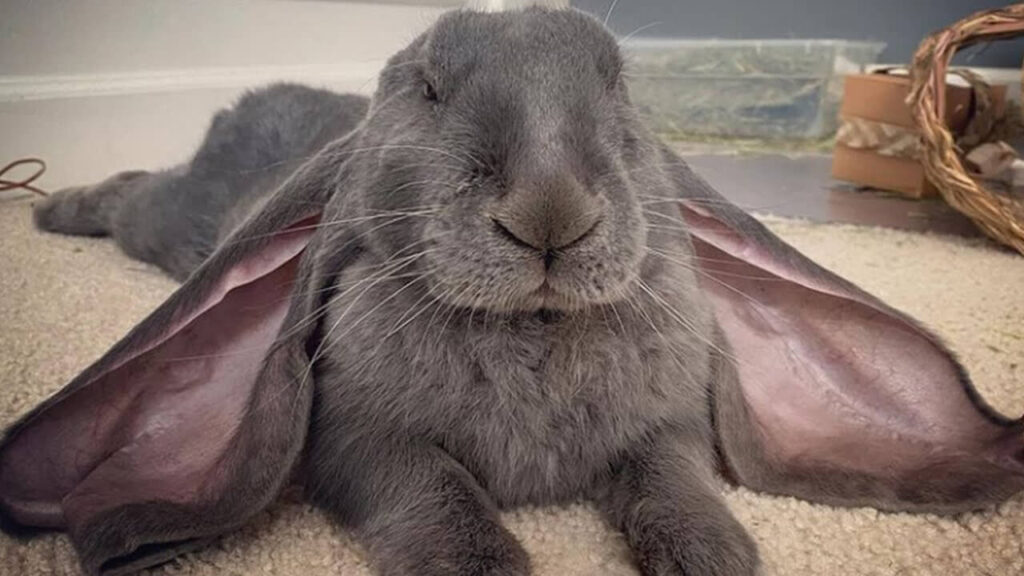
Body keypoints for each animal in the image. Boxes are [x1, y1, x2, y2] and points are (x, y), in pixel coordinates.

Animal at [3, 7, 1023, 576]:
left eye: (618, 86)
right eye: (426, 89)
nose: (549, 211)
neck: (533, 325)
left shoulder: (665, 428)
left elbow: (677, 480)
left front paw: (715, 554)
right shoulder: (359, 440)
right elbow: (438, 493)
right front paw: (482, 565)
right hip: (168, 220)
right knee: (134, 190)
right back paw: (51, 208)